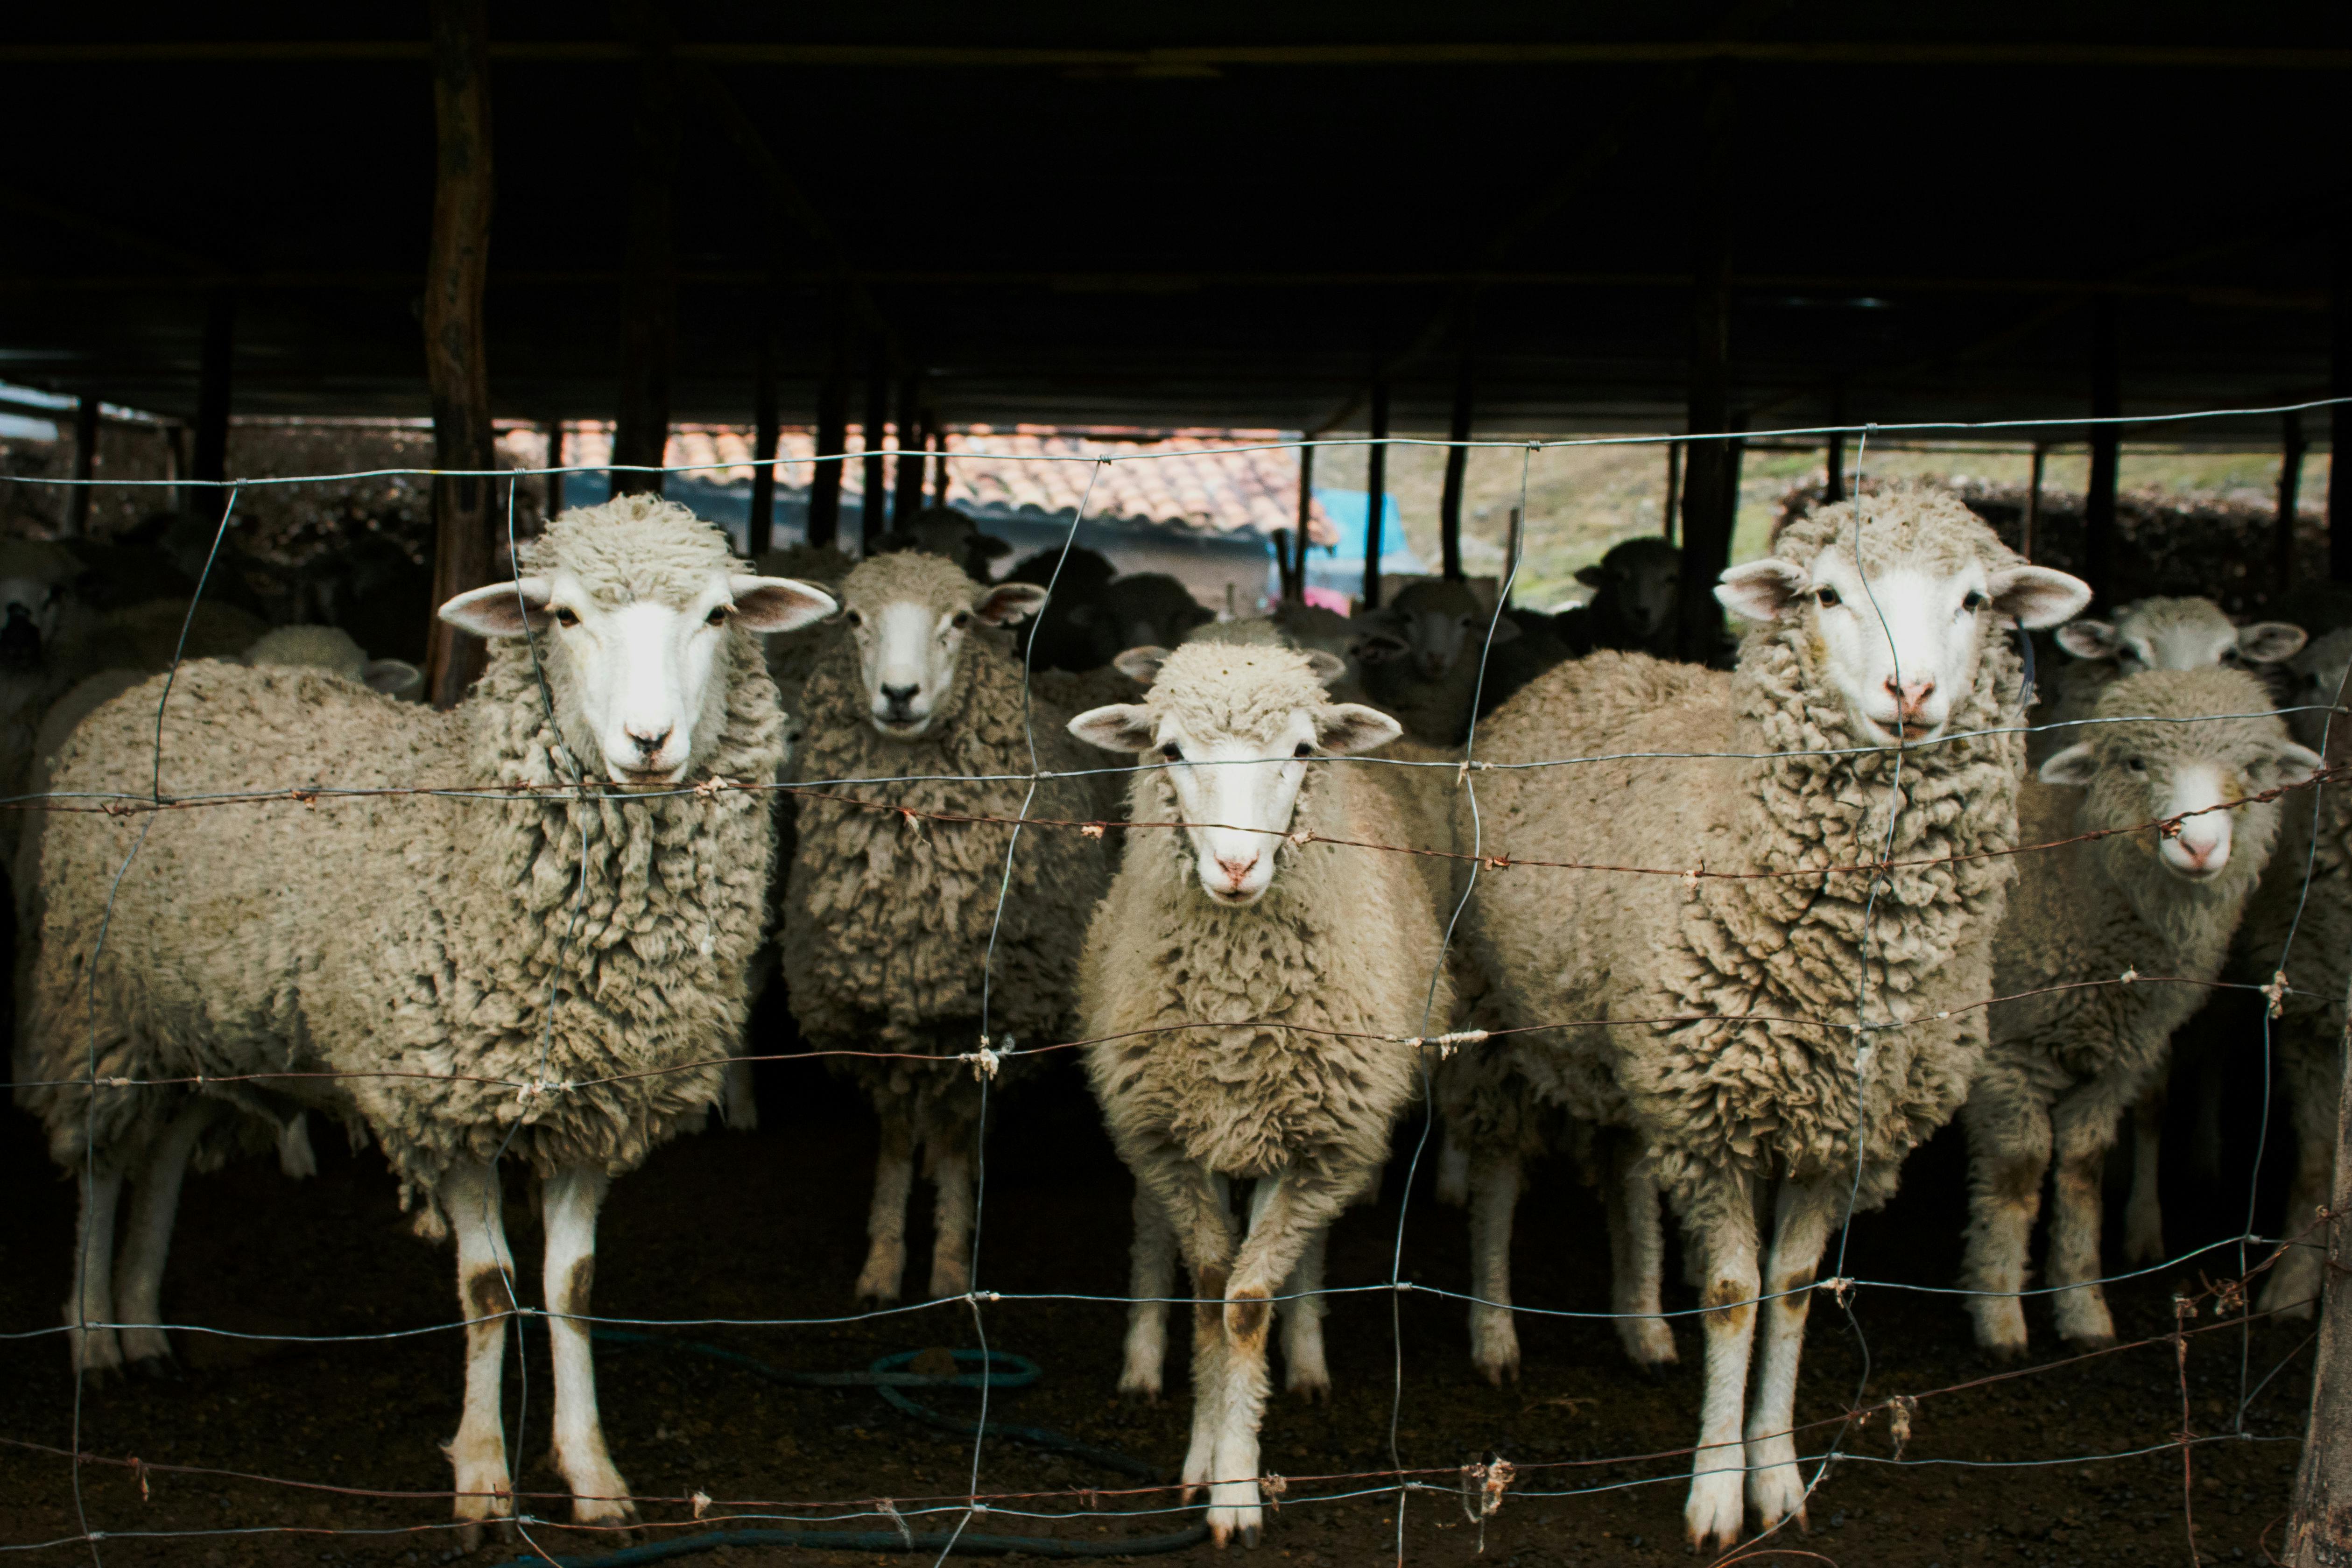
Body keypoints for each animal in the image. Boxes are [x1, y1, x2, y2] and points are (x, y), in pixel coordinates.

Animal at [12, 494, 835, 1540]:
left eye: (719, 616)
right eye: (564, 617)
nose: (647, 740)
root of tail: (172, 679)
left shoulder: (589, 1106)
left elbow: (570, 1288)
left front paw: (593, 1475)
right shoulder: (446, 1103)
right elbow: (488, 1292)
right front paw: (483, 1481)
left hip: (199, 1010)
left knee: (163, 1152)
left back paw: (147, 1324)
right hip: (98, 1003)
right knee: (102, 1159)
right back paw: (93, 1334)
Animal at [781, 549, 1112, 1304]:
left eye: (960, 620)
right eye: (853, 617)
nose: (899, 694)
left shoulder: (975, 1014)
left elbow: (960, 1134)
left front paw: (952, 1260)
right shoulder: (875, 1019)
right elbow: (895, 1139)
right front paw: (882, 1261)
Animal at [1066, 639, 1453, 1547]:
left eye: (1303, 749)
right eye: (1170, 750)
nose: (1237, 866)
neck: (1237, 1018)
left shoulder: (1315, 1145)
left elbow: (1246, 1302)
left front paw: (1236, 1491)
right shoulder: (1175, 1141)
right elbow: (1210, 1290)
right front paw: (1203, 1460)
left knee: (1297, 1255)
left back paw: (1306, 1357)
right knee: (1150, 1230)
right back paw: (1142, 1359)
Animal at [1460, 487, 2089, 1549]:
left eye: (1973, 599)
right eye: (1827, 594)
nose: (1909, 691)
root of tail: (1593, 662)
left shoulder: (1838, 1127)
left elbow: (1789, 1293)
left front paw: (1778, 1477)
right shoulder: (1713, 1115)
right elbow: (1729, 1294)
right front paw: (1716, 1492)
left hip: (1633, 1046)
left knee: (1625, 1167)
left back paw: (1639, 1325)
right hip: (1499, 1017)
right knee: (1500, 1169)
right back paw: (1494, 1331)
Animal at [1961, 668, 2316, 1354]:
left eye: (2252, 766)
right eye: (2134, 762)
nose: (2197, 844)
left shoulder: (2118, 1060)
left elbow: (2082, 1166)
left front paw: (2082, 1306)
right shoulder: (2007, 1053)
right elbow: (2018, 1172)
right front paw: (1998, 1316)